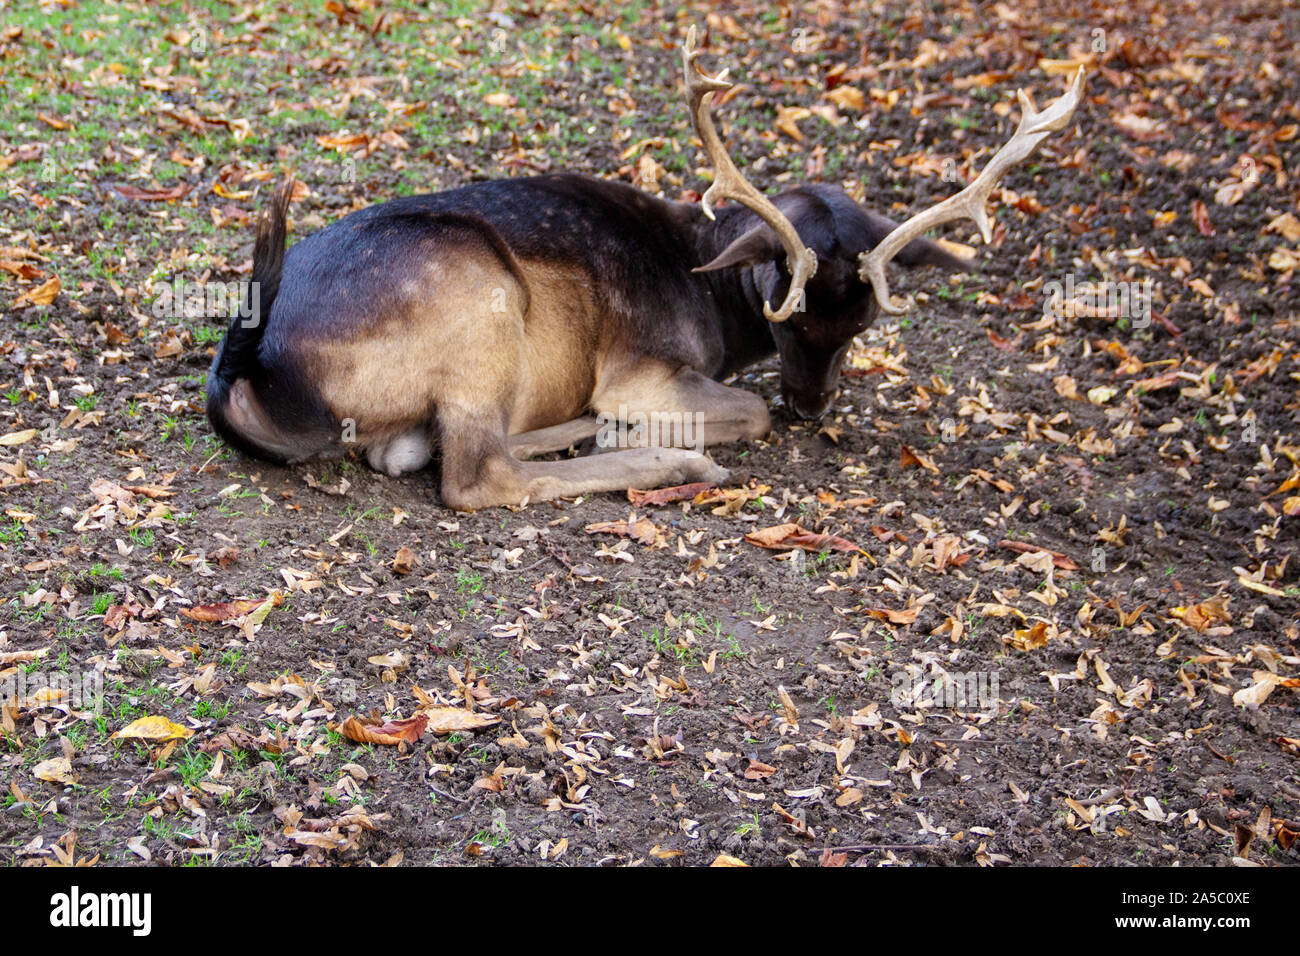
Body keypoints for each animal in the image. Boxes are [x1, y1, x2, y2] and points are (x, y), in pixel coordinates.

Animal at [206, 27, 1083, 511]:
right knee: (477, 475)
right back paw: (672, 454)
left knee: (431, 451)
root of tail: (251, 372)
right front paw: (670, 426)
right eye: (785, 307)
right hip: (481, 297)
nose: (812, 403)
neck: (712, 297)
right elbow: (747, 411)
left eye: (864, 321)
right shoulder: (641, 366)